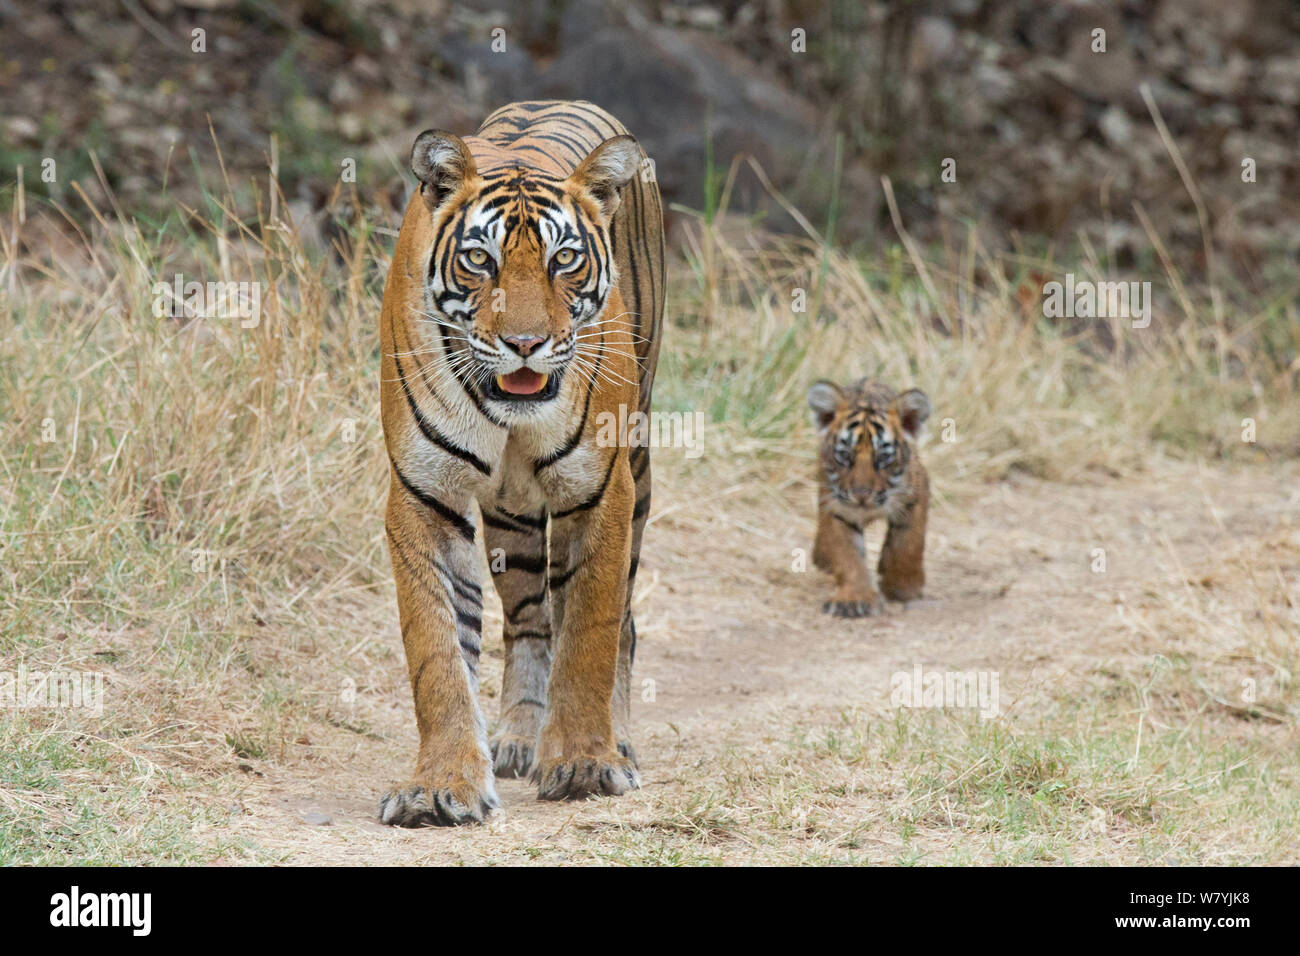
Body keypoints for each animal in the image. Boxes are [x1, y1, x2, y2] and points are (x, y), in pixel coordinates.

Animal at [377, 101, 664, 826]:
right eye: (480, 260)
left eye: (565, 260)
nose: (526, 344)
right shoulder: (424, 495)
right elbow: (437, 652)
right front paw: (439, 786)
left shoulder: (600, 490)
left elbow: (590, 630)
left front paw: (588, 762)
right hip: (510, 515)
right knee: (531, 618)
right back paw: (517, 735)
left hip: (639, 461)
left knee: (622, 620)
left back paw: (615, 738)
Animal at [807, 378, 932, 618]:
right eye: (844, 455)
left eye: (883, 457)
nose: (861, 494)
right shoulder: (838, 508)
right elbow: (848, 555)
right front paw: (853, 599)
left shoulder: (916, 492)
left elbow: (907, 543)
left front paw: (902, 588)